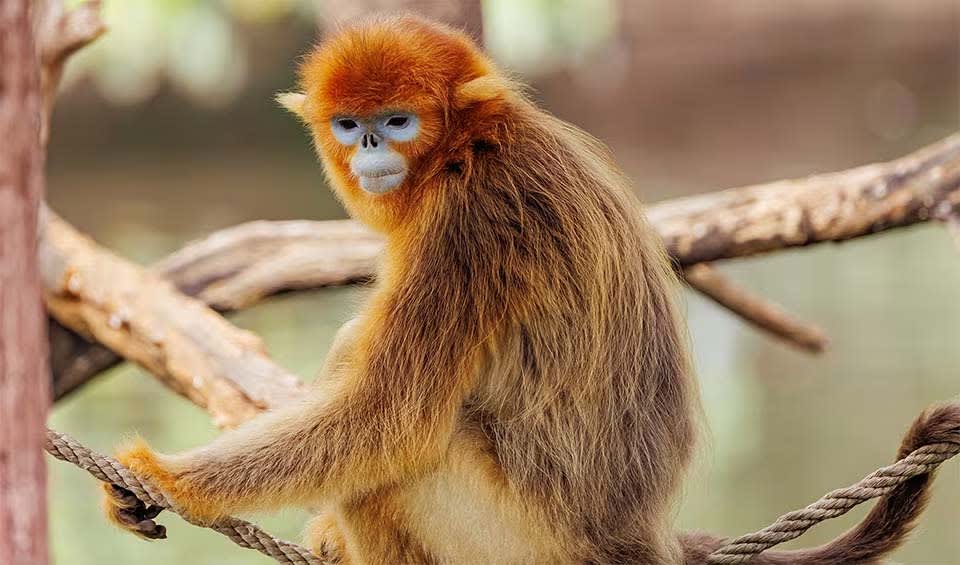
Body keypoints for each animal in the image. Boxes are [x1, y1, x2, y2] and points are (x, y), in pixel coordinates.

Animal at [102, 15, 960, 564]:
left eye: (399, 119)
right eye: (350, 124)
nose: (372, 143)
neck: (474, 148)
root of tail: (634, 541)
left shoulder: (467, 226)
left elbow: (388, 417)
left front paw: (167, 476)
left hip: (518, 537)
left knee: (403, 446)